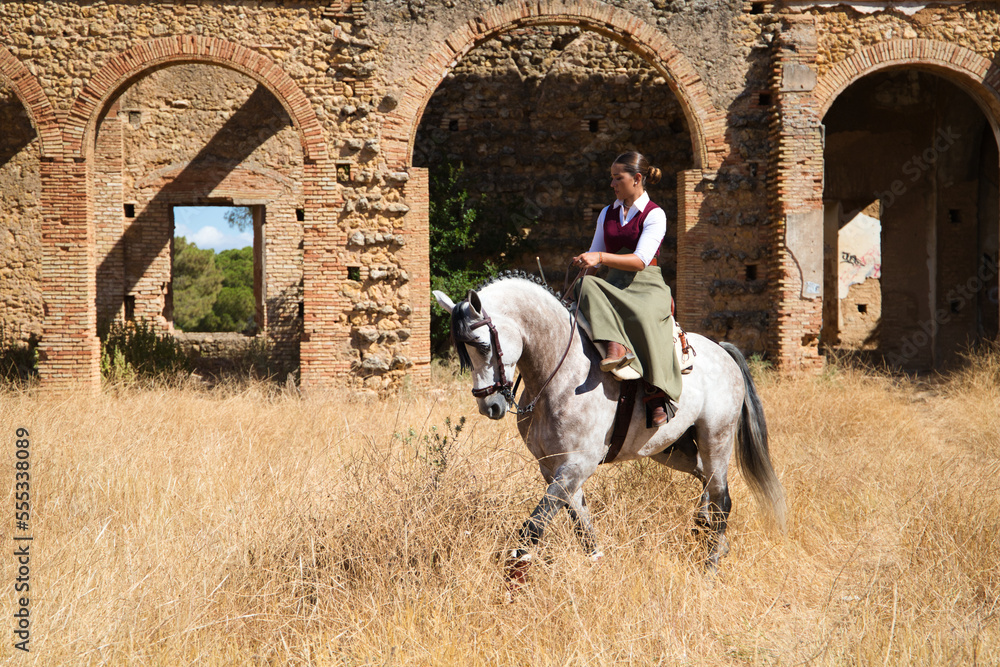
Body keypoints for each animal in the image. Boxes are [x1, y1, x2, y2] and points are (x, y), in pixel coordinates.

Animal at [433, 273, 786, 577]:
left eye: (482, 345)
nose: (489, 405)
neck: (562, 374)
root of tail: (722, 350)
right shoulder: (553, 467)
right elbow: (580, 523)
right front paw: (595, 562)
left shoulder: (577, 464)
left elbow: (533, 526)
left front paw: (513, 578)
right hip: (674, 449)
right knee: (705, 479)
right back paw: (704, 526)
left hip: (716, 439)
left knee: (722, 497)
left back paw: (711, 566)